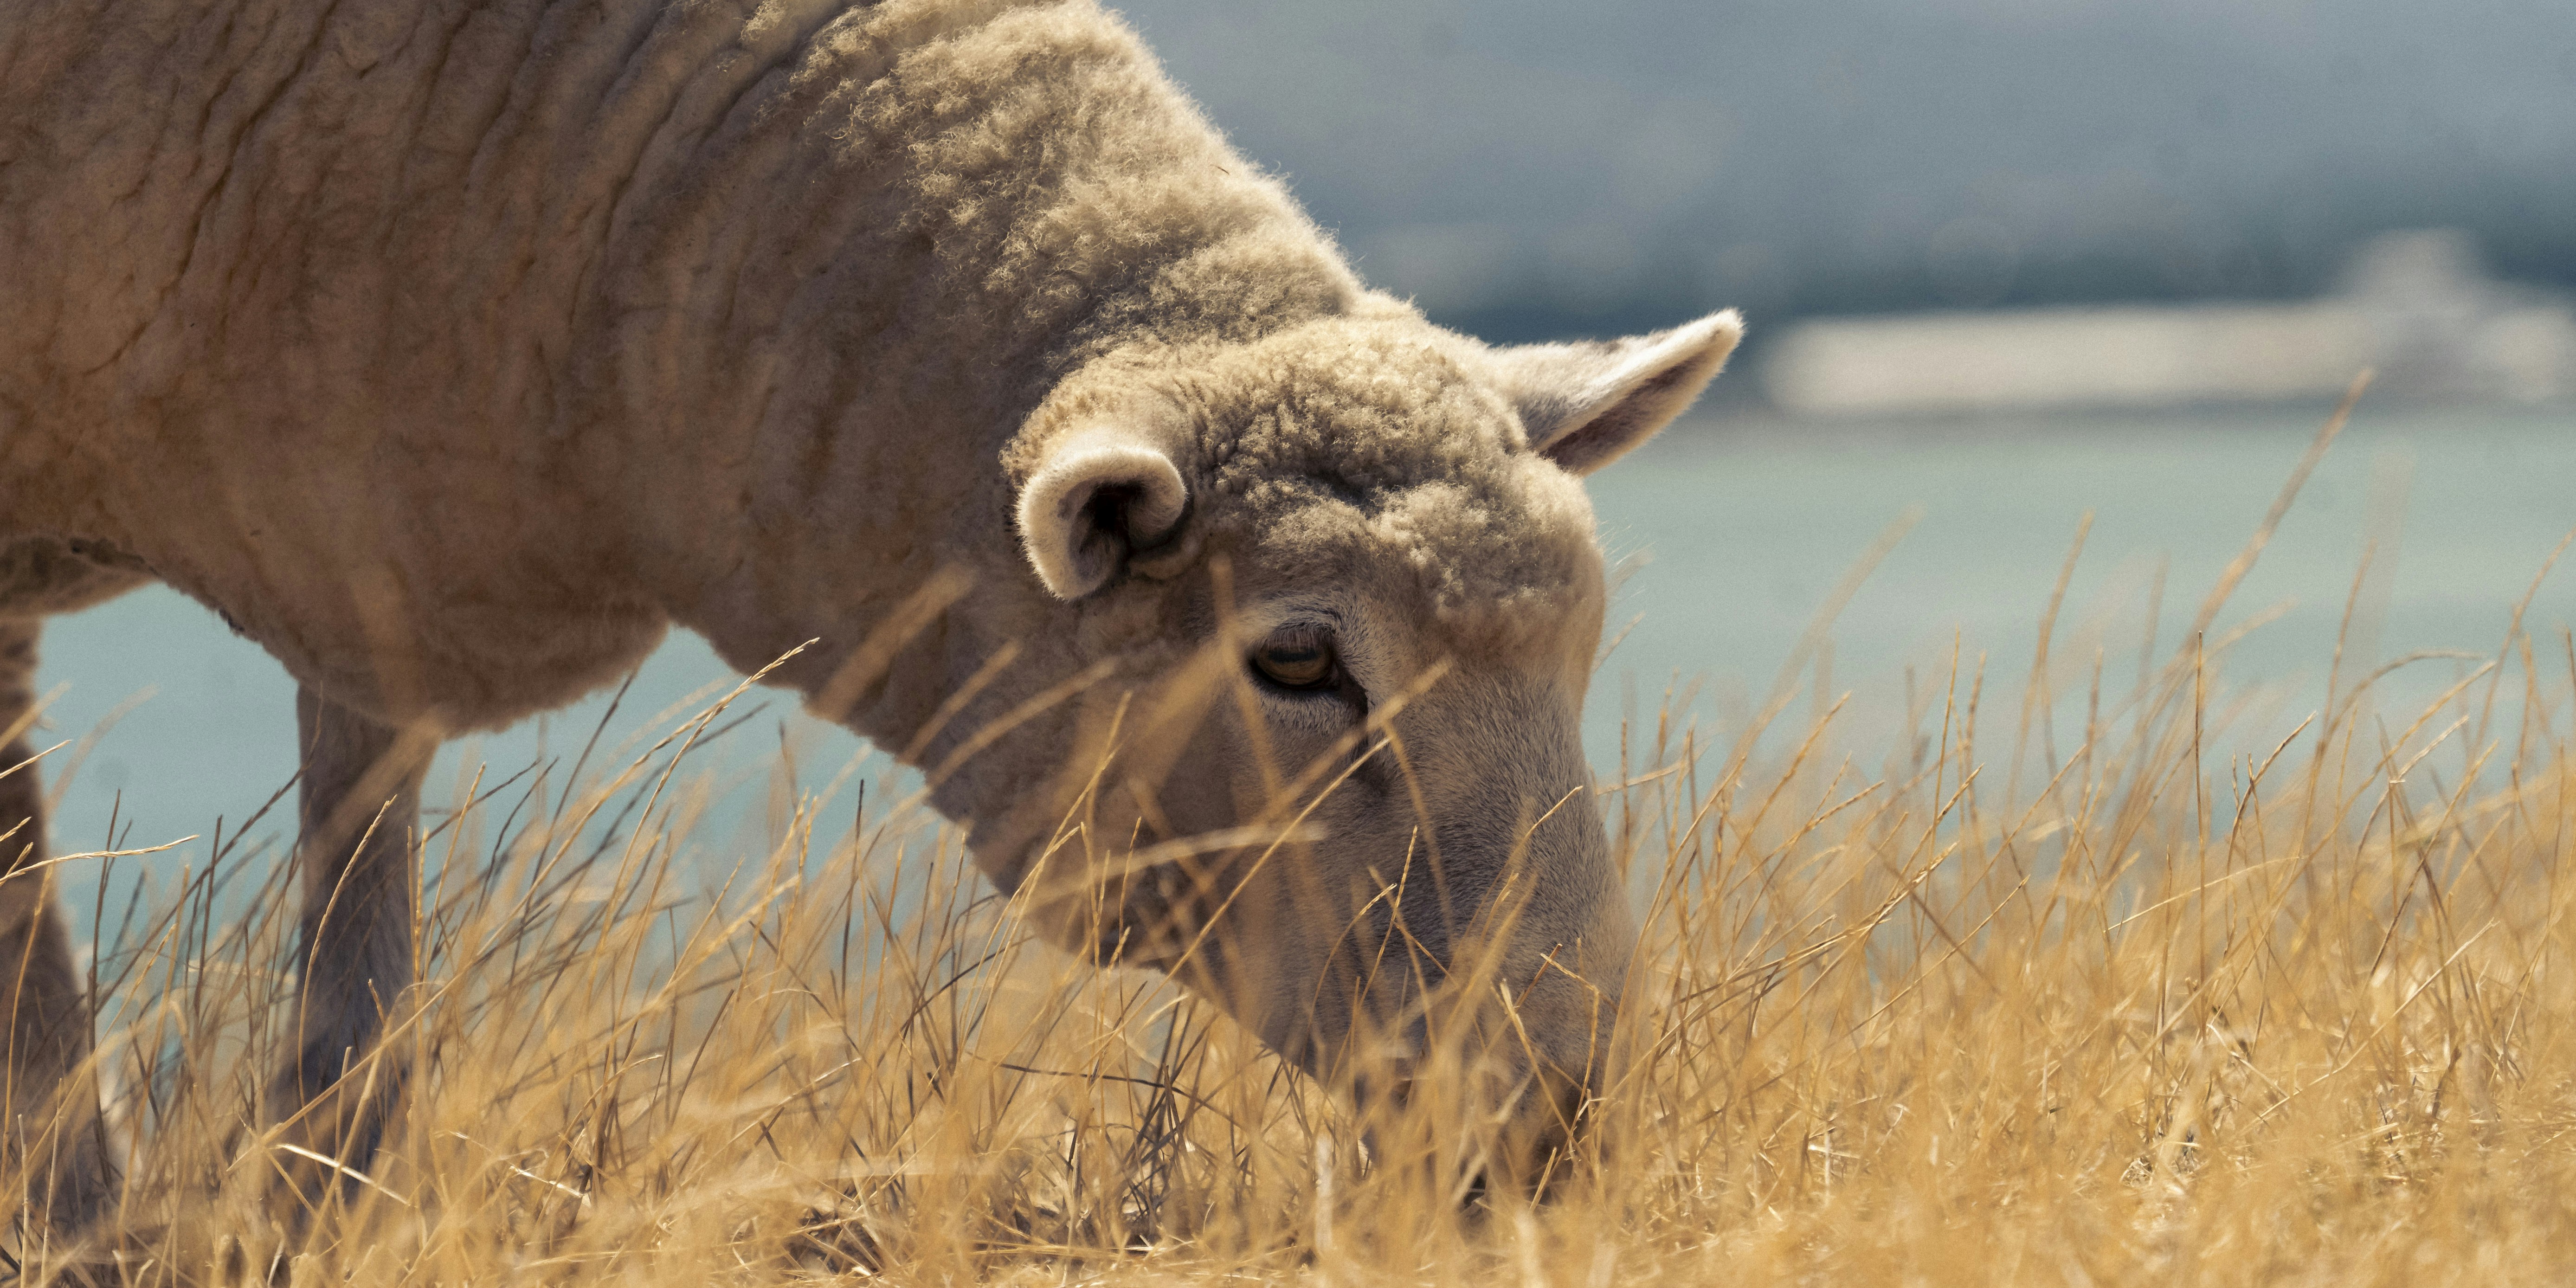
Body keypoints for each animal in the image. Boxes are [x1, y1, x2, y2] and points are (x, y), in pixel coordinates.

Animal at [0, 0, 1741, 1221]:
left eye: (1582, 640)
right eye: (1298, 658)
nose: (1551, 1117)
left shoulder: (357, 530)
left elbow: (360, 965)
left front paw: (329, 1205)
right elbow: (37, 988)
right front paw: (85, 1224)